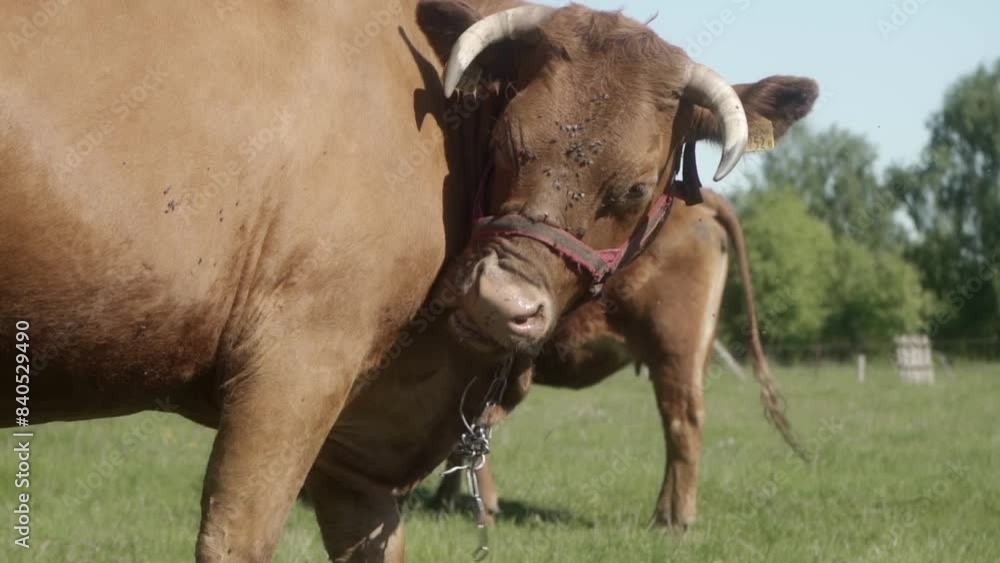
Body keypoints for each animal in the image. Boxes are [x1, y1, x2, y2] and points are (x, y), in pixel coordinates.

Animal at [433, 187, 812, 532]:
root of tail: (704, 197)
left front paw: (480, 506)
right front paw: (447, 500)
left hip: (674, 351)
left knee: (683, 424)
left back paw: (673, 521)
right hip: (694, 356)